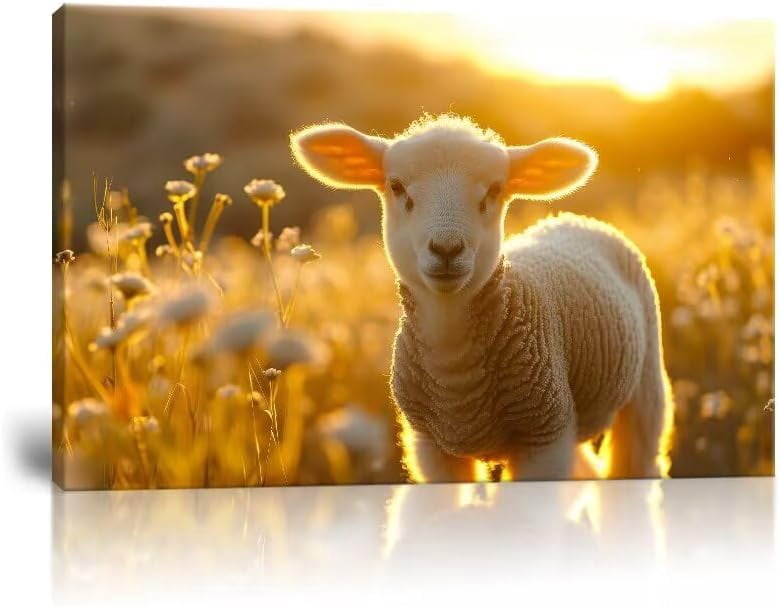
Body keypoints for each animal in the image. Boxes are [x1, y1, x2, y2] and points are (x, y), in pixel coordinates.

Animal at [290, 114, 674, 482]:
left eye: (494, 189)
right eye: (396, 186)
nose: (446, 248)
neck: (456, 382)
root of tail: (570, 219)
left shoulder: (542, 436)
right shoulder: (432, 446)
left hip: (645, 381)